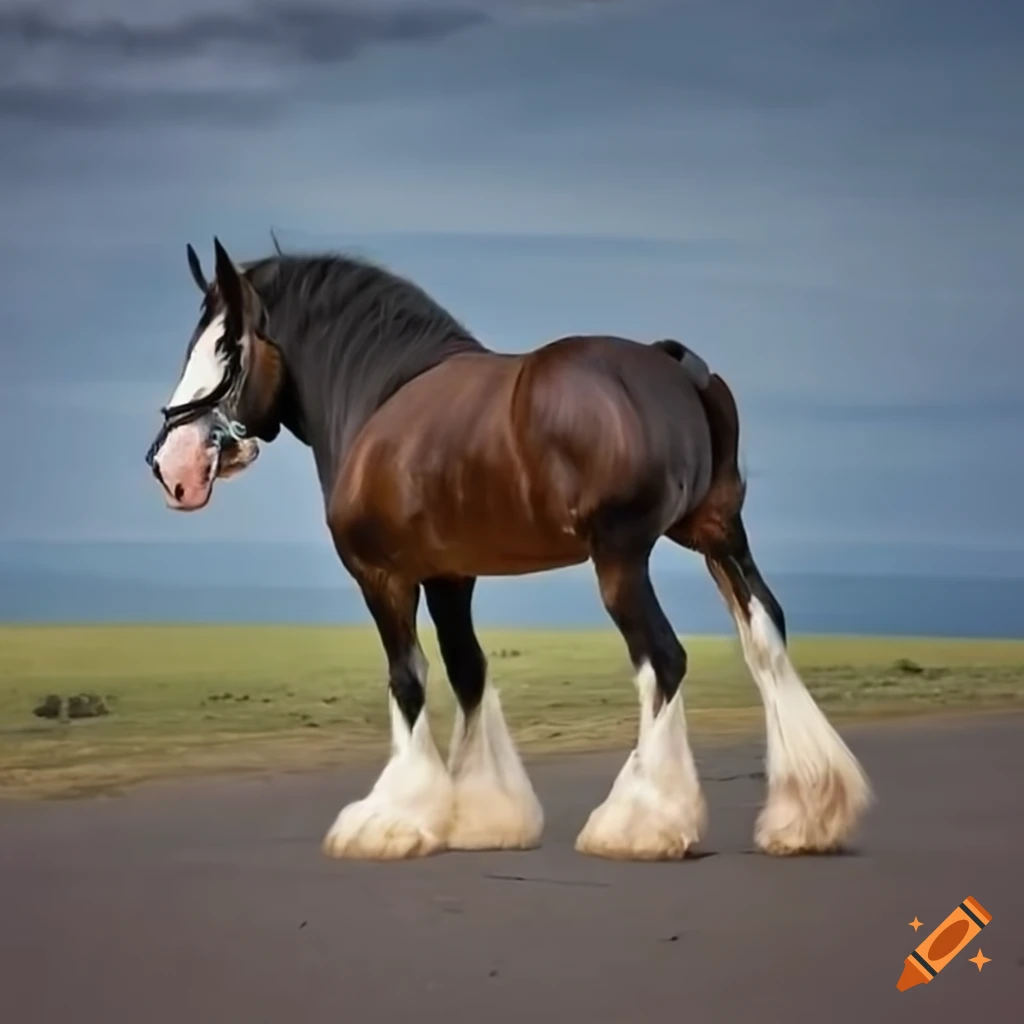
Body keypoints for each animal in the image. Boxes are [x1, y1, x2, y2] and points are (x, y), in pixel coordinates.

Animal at [145, 237, 872, 862]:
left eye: (224, 347)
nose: (171, 466)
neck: (381, 394)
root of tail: (672, 367)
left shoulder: (383, 576)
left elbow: (408, 678)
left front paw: (391, 818)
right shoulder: (449, 576)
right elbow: (469, 670)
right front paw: (484, 814)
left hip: (621, 558)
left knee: (662, 659)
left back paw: (638, 822)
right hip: (718, 535)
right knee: (764, 632)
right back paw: (806, 814)